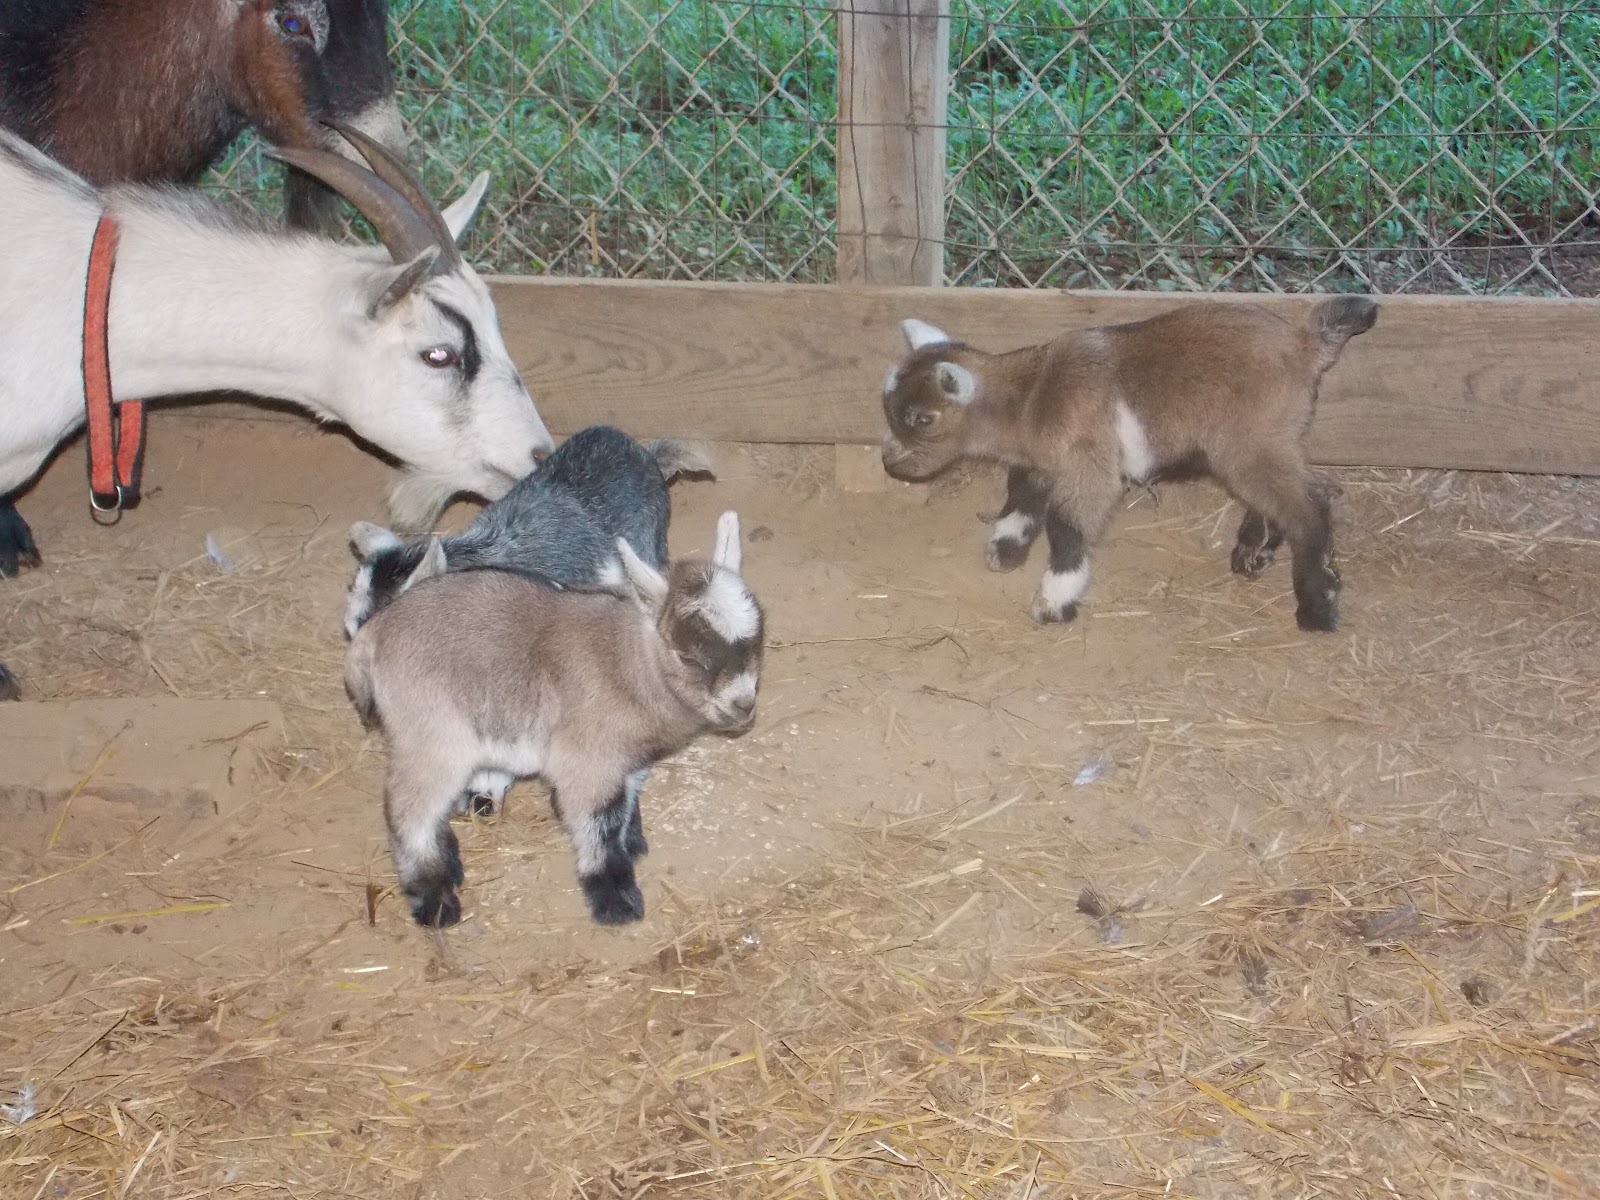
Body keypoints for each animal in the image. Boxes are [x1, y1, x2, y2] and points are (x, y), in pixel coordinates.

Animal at [346, 511, 765, 928]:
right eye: (688, 657)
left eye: (757, 641)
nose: (744, 705)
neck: (630, 663)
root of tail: (372, 635)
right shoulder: (588, 761)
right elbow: (598, 823)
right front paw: (615, 900)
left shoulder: (625, 761)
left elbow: (623, 807)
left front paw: (631, 843)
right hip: (434, 737)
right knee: (409, 812)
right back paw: (435, 902)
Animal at [880, 299, 1378, 632]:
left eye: (922, 419)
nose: (889, 462)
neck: (1031, 397)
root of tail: (1305, 343)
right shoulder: (1047, 460)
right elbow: (1020, 495)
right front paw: (1005, 551)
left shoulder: (1091, 465)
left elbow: (1066, 526)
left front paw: (1054, 601)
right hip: (1264, 440)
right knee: (1286, 492)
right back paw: (1254, 552)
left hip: (1248, 441)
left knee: (1312, 500)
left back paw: (1317, 605)